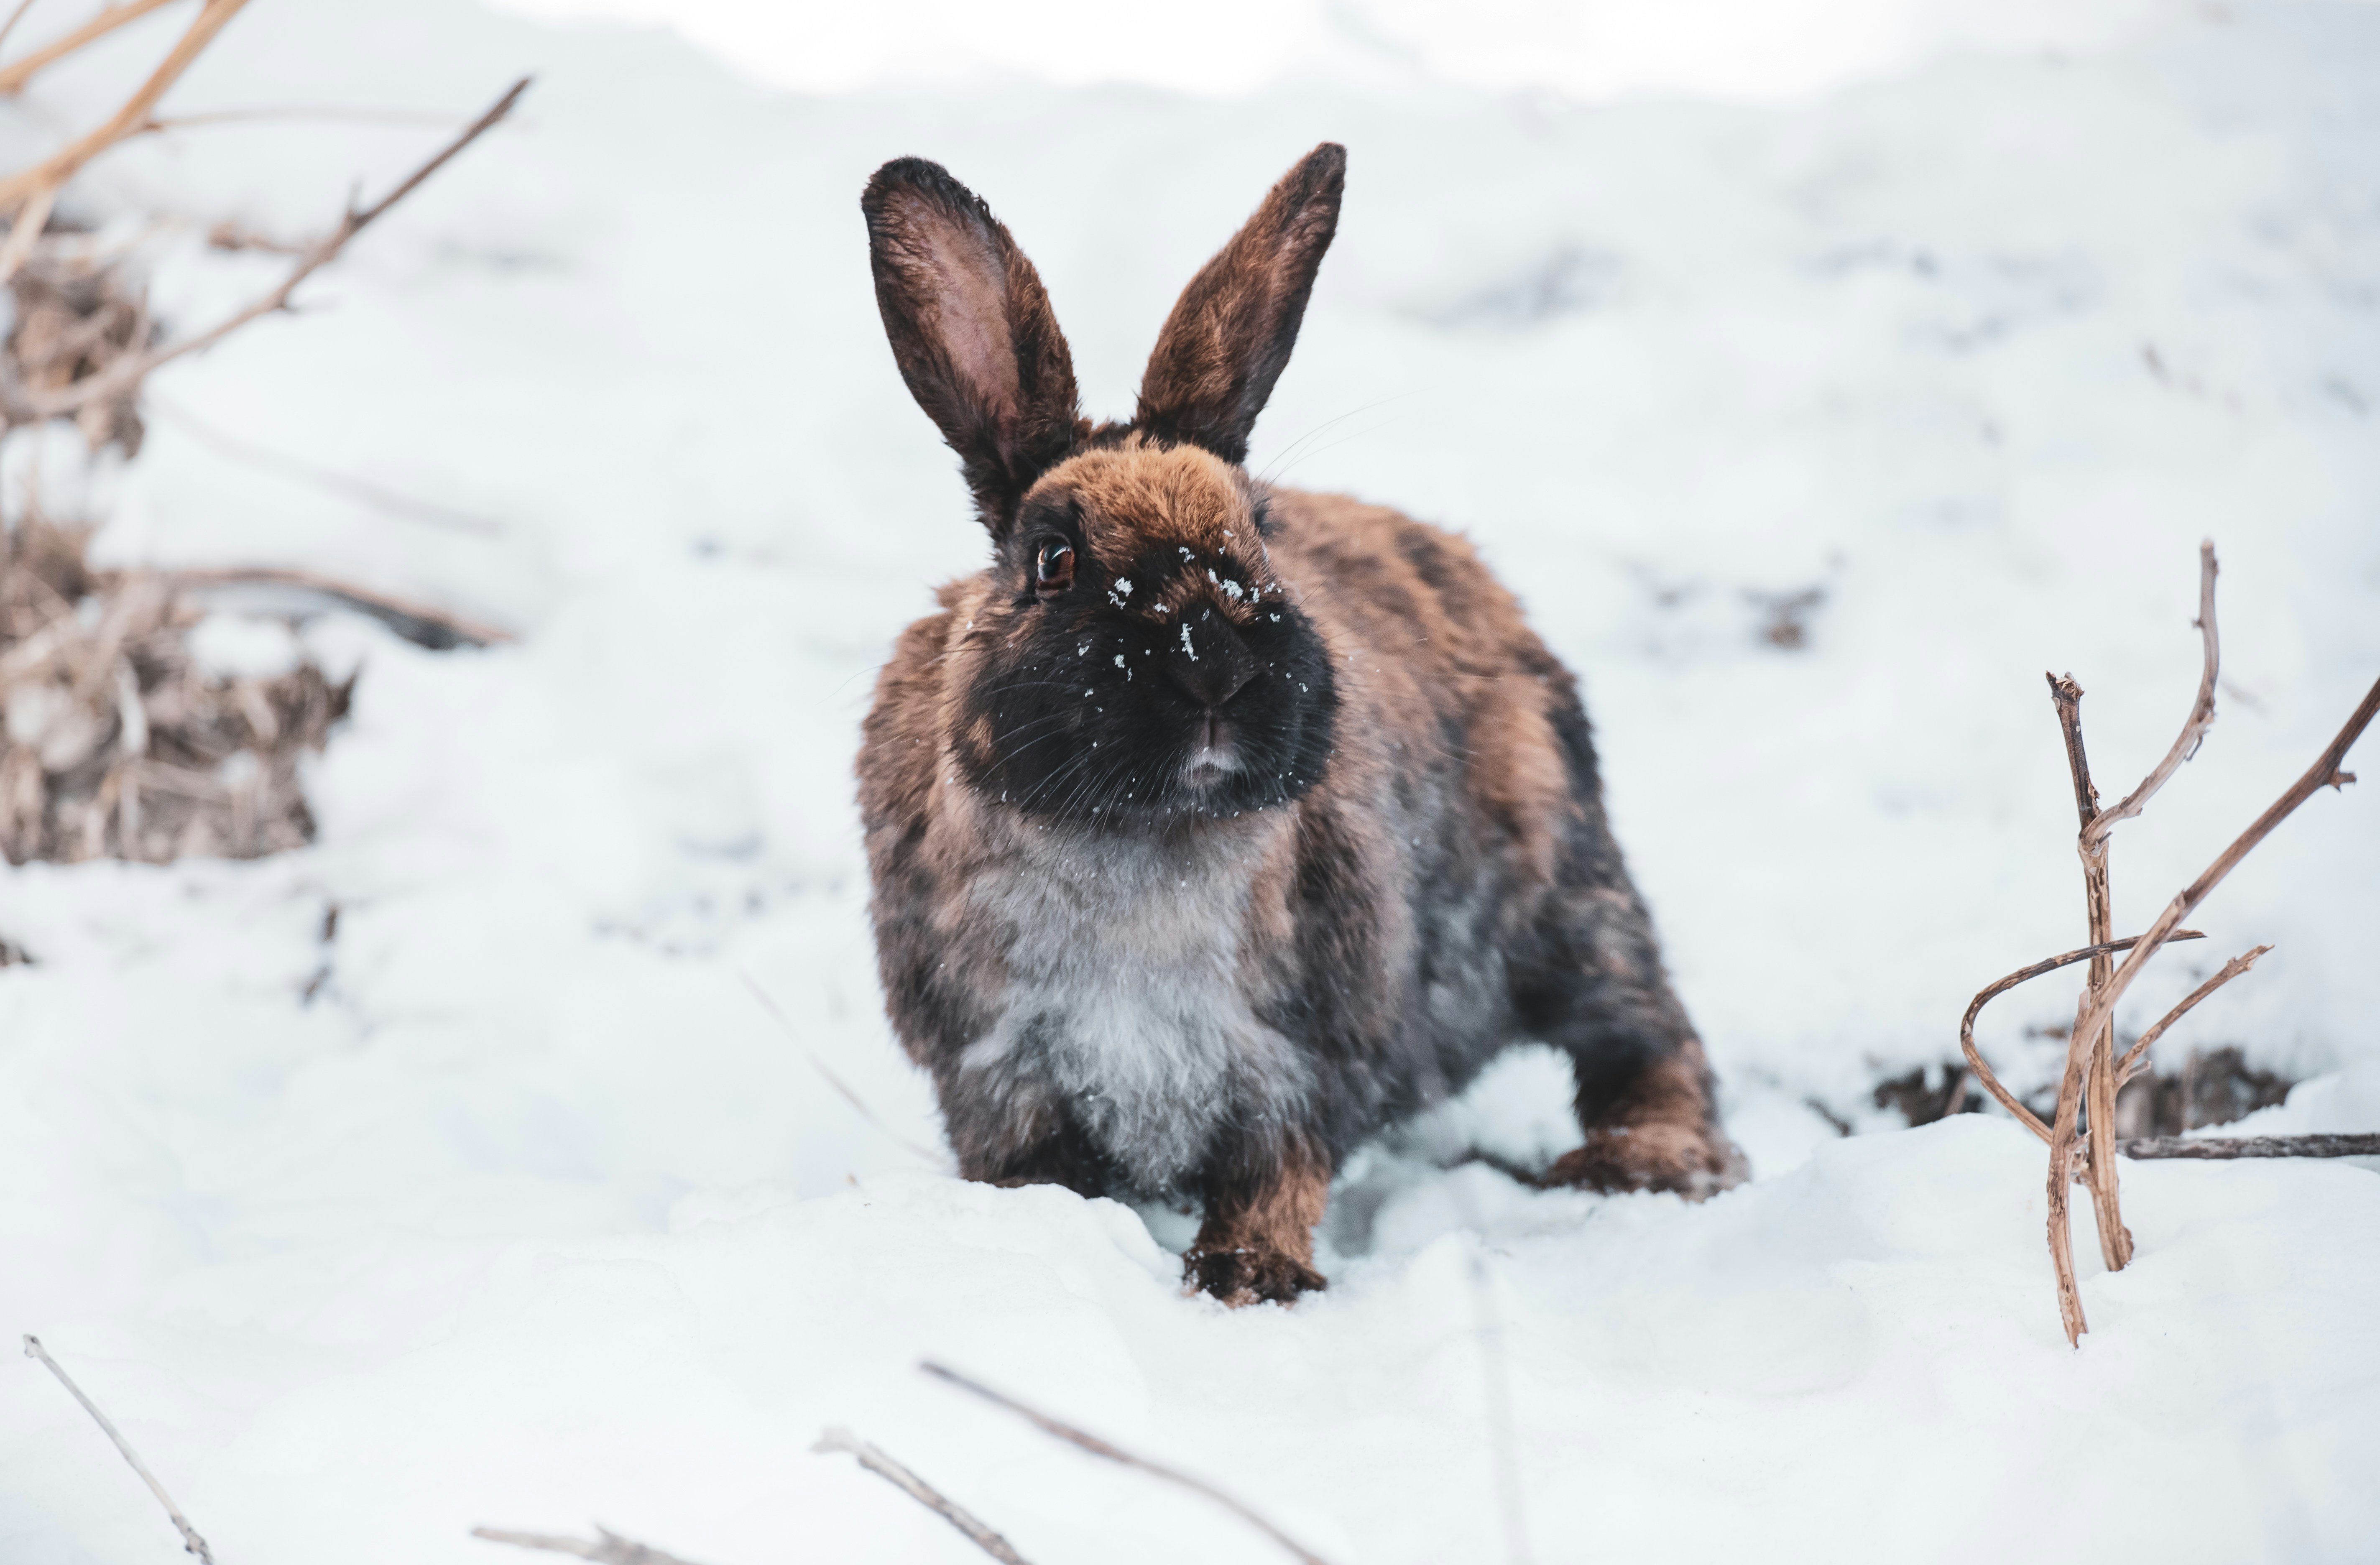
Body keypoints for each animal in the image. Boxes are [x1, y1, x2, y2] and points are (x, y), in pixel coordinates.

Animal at [856, 143, 1747, 1307]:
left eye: (1259, 534)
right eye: (1052, 559)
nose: (1216, 667)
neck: (1143, 836)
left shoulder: (1294, 1062)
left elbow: (1276, 1171)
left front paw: (1248, 1278)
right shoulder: (1000, 1078)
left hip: (1568, 901)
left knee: (1647, 1029)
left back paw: (1638, 1162)